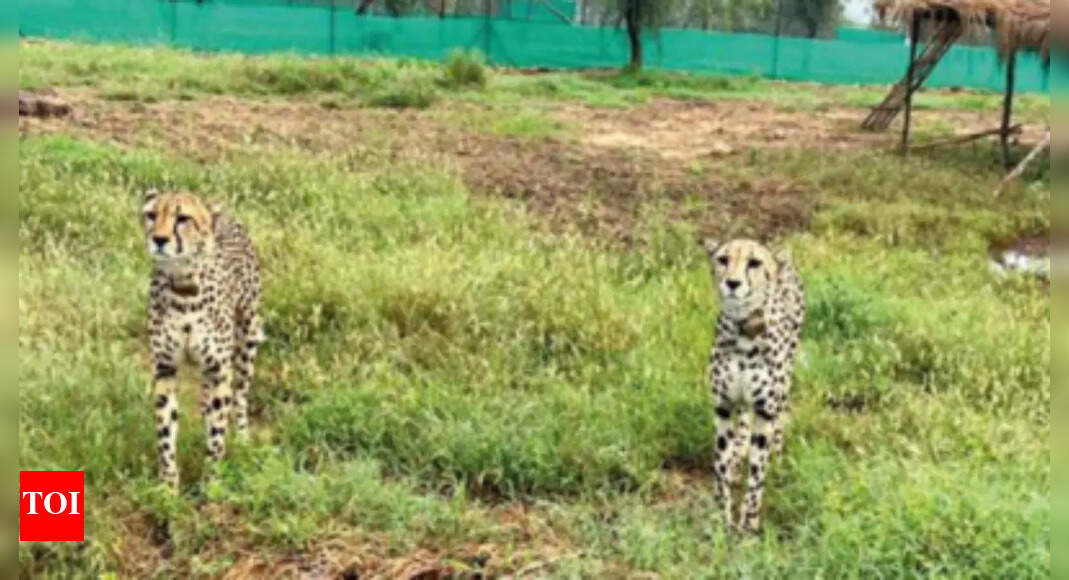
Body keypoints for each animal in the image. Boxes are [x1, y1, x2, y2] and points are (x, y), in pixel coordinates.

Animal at [141, 189, 263, 491]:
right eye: (151, 214)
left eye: (182, 218)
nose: (158, 239)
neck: (183, 284)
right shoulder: (165, 368)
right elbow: (165, 429)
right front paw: (168, 486)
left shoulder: (219, 369)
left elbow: (217, 433)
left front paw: (212, 482)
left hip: (247, 338)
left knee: (239, 395)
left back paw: (242, 438)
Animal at [702, 238, 805, 533]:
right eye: (723, 260)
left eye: (754, 263)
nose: (732, 283)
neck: (743, 330)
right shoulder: (723, 406)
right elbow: (720, 465)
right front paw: (721, 517)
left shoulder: (764, 409)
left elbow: (757, 473)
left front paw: (748, 522)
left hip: (784, 383)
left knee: (779, 420)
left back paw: (778, 457)